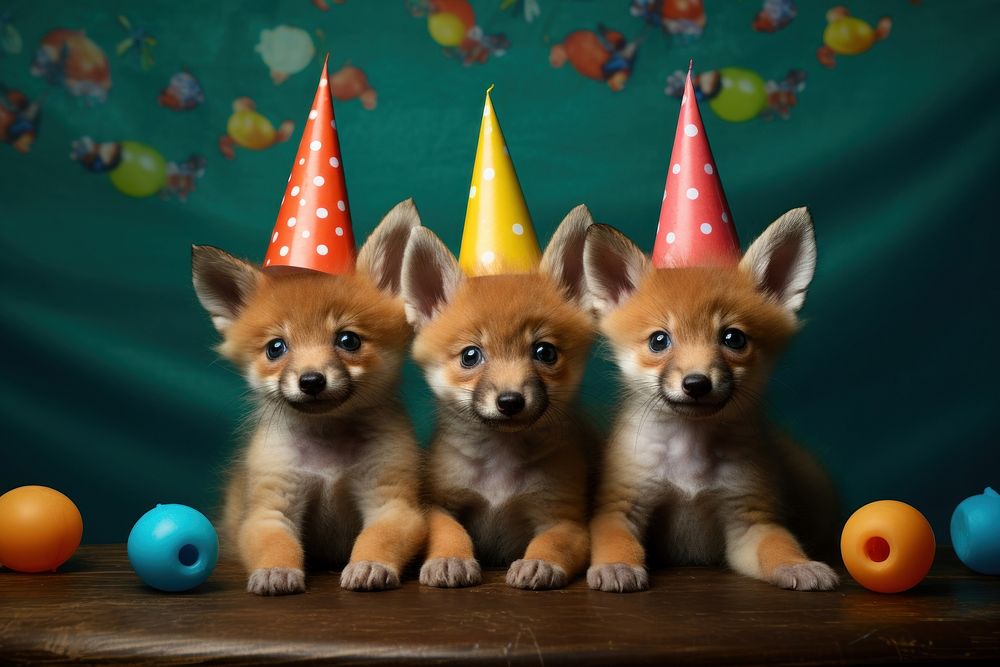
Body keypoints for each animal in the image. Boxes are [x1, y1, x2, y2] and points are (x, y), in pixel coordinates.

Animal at [191, 199, 427, 596]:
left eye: (348, 340)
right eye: (276, 348)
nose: (312, 380)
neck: (328, 452)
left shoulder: (392, 501)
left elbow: (378, 538)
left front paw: (369, 565)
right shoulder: (272, 506)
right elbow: (276, 544)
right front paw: (276, 571)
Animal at [399, 206, 596, 590]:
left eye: (545, 352)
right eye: (470, 356)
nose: (510, 401)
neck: (500, 468)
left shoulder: (565, 519)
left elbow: (552, 542)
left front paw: (538, 563)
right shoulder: (438, 504)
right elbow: (448, 530)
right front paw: (450, 558)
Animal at [583, 207, 840, 592]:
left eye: (733, 339)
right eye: (659, 341)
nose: (696, 383)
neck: (690, 460)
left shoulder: (750, 519)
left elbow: (780, 546)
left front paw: (800, 565)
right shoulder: (620, 505)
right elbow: (617, 541)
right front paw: (617, 566)